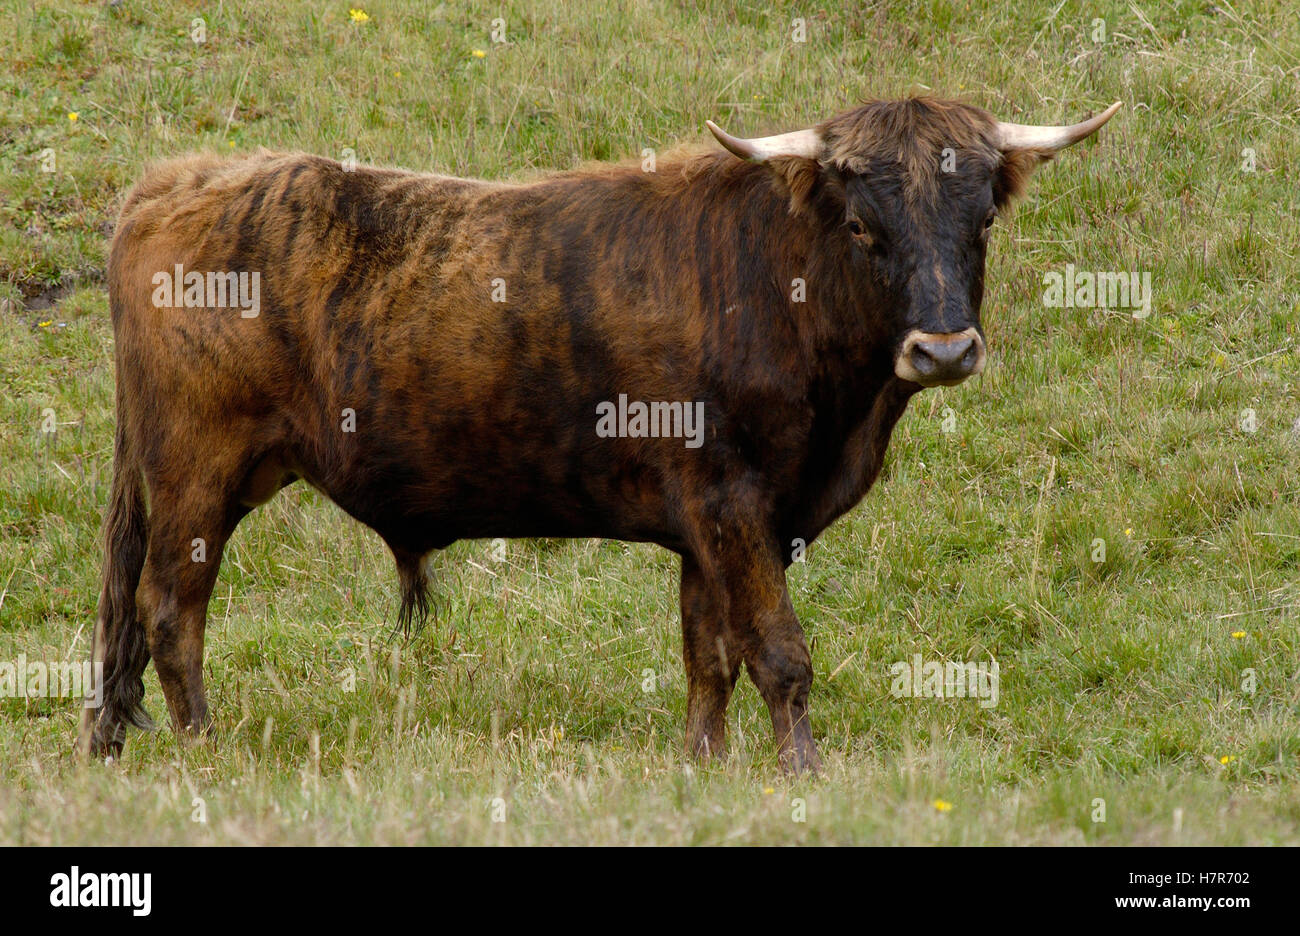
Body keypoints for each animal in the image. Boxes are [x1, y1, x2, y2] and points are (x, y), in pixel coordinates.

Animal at [80, 96, 1120, 770]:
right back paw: (208, 750)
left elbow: (710, 653)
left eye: (981, 220)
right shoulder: (735, 504)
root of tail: (177, 181)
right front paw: (804, 774)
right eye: (864, 226)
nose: (943, 349)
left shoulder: (709, 525)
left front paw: (701, 766)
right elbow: (779, 652)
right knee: (169, 611)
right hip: (195, 473)